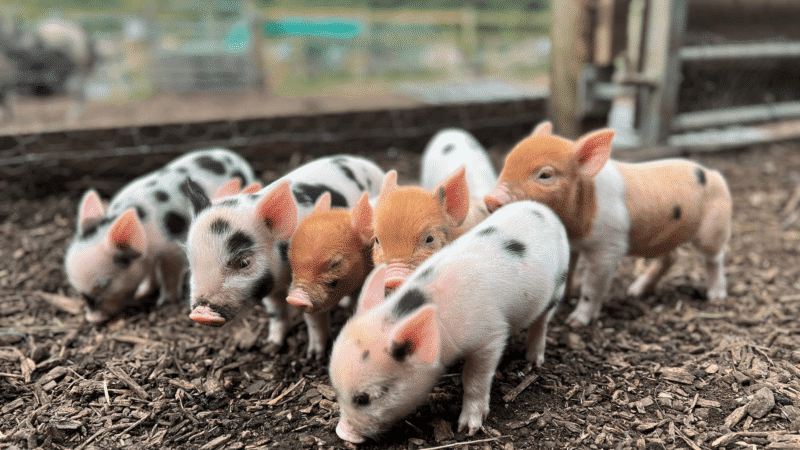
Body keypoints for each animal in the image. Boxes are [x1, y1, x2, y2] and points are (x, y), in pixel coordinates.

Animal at [64, 148, 255, 323]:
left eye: (105, 283)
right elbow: (150, 273)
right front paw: (143, 292)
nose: (91, 319)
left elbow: (169, 274)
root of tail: (232, 155)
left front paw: (165, 302)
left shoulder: (173, 249)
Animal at [330, 200, 570, 443]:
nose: (342, 433)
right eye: (336, 390)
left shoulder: (491, 335)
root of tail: (541, 208)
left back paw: (534, 360)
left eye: (364, 398)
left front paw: (467, 429)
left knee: (542, 322)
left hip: (559, 284)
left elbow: (474, 379)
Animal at [484, 121, 733, 327]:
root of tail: (713, 173)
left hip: (713, 228)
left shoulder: (608, 247)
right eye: (507, 163)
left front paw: (575, 322)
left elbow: (592, 287)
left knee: (714, 259)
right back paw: (634, 292)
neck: (575, 226)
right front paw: (565, 300)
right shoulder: (572, 244)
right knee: (671, 258)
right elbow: (570, 271)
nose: (490, 199)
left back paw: (716, 298)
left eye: (545, 175)